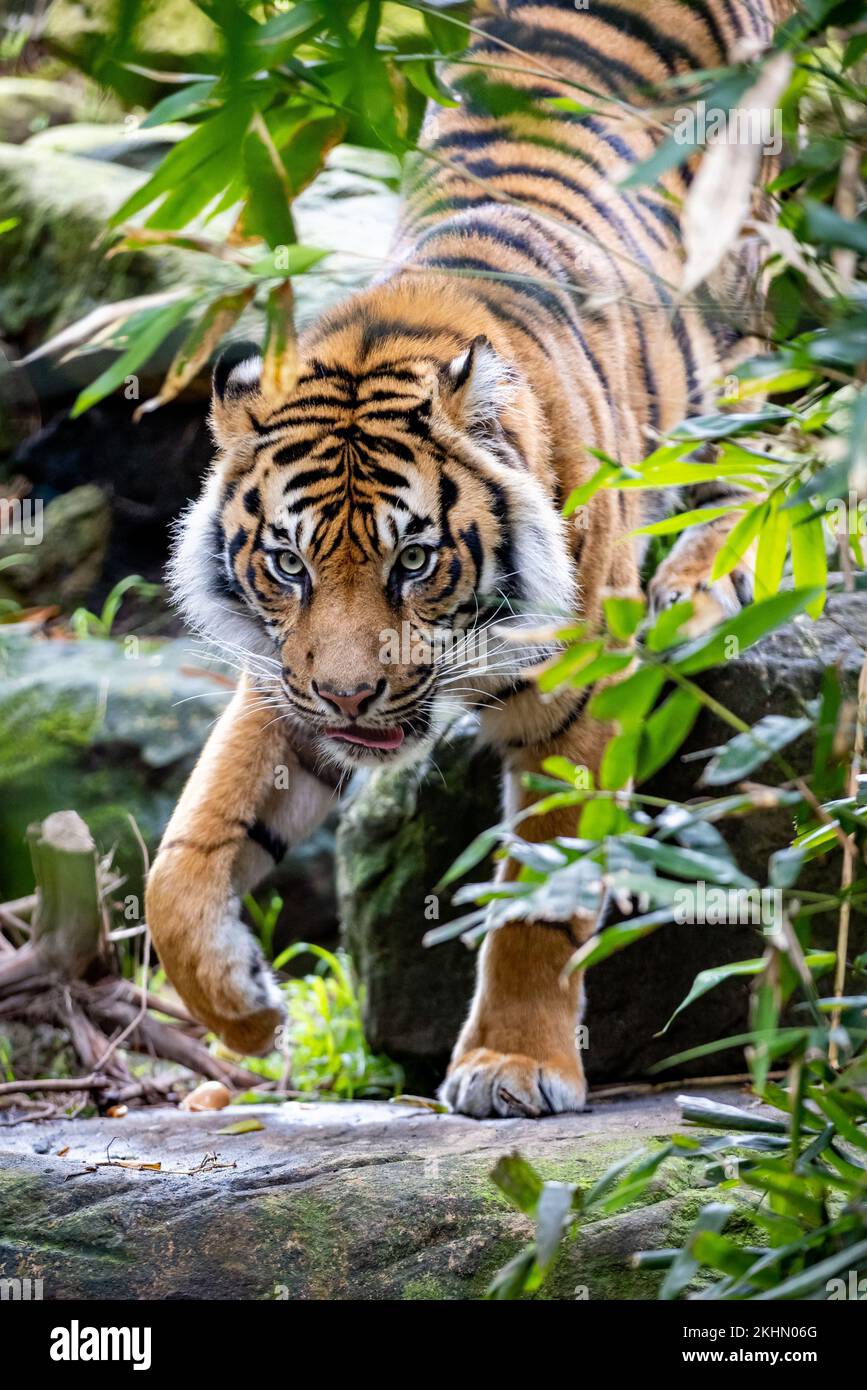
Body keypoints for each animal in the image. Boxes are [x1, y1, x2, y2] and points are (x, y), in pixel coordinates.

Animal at [146, 0, 789, 1117]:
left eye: (413, 560)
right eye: (288, 565)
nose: (351, 695)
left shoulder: (579, 691)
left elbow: (539, 896)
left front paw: (513, 1066)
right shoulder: (283, 679)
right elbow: (185, 852)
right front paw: (246, 1009)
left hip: (746, 278)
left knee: (789, 424)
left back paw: (706, 580)